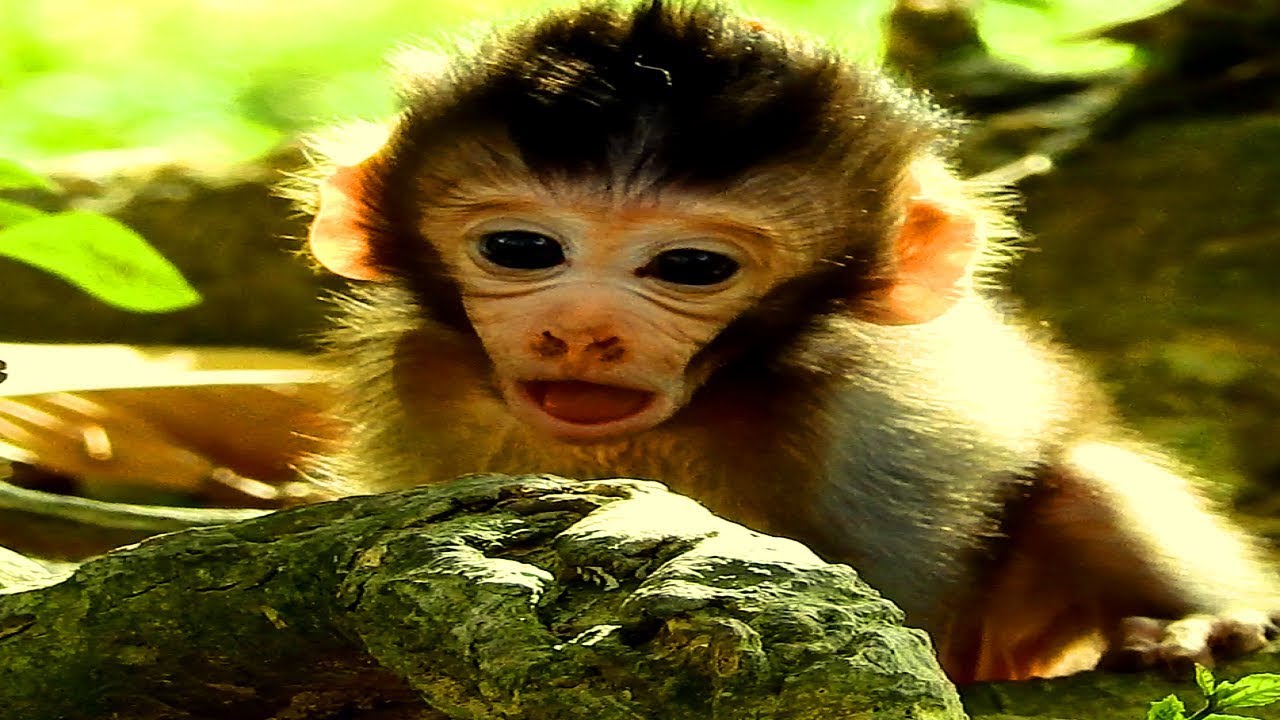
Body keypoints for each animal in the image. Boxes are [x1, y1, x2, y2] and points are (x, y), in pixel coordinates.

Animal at [298, 0, 1278, 683]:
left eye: (691, 267)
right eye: (521, 250)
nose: (580, 330)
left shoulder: (865, 417)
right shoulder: (422, 385)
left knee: (1090, 486)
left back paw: (1193, 619)